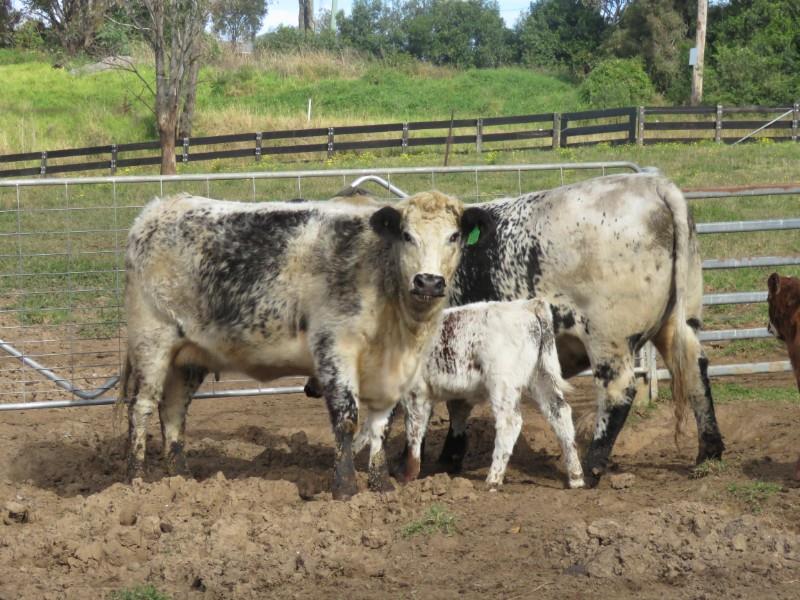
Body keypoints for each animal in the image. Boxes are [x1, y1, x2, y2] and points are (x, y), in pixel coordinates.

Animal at [120, 191, 494, 499]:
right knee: (141, 407)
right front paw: (345, 488)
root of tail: (156, 209)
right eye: (407, 235)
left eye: (454, 236)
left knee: (173, 411)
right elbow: (347, 420)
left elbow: (382, 426)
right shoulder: (335, 348)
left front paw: (381, 485)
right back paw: (137, 479)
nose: (428, 282)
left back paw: (180, 479)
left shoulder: (392, 370)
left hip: (189, 357)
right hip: (151, 341)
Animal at [392, 173, 725, 487]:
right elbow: (457, 404)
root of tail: (653, 185)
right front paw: (449, 457)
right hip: (678, 323)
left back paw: (592, 466)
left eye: (453, 236)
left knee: (618, 391)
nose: (427, 281)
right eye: (407, 236)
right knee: (696, 370)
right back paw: (709, 452)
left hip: (609, 338)